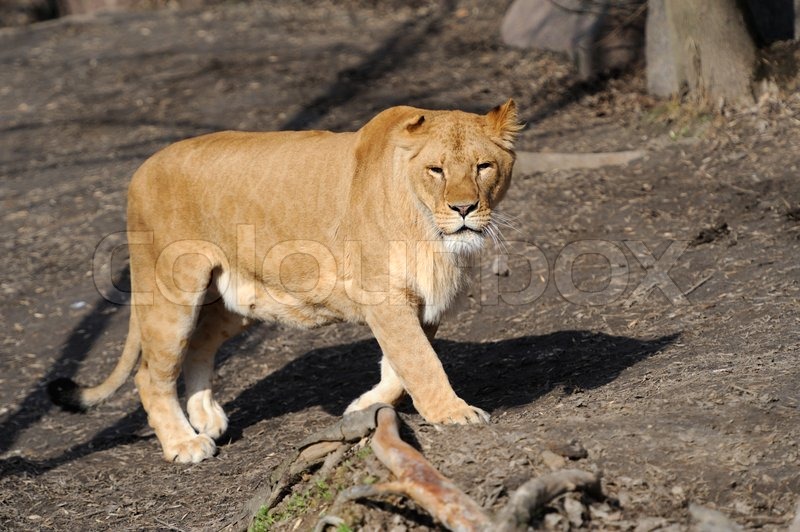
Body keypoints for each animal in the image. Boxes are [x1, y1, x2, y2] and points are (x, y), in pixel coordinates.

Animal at [49, 100, 521, 463]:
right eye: (436, 170)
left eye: (483, 167)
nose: (464, 209)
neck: (430, 230)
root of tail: (141, 170)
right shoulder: (384, 296)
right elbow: (421, 363)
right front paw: (453, 413)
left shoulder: (423, 302)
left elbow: (400, 368)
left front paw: (364, 406)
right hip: (173, 289)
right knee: (151, 375)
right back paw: (184, 443)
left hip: (235, 299)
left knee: (199, 344)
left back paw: (206, 417)